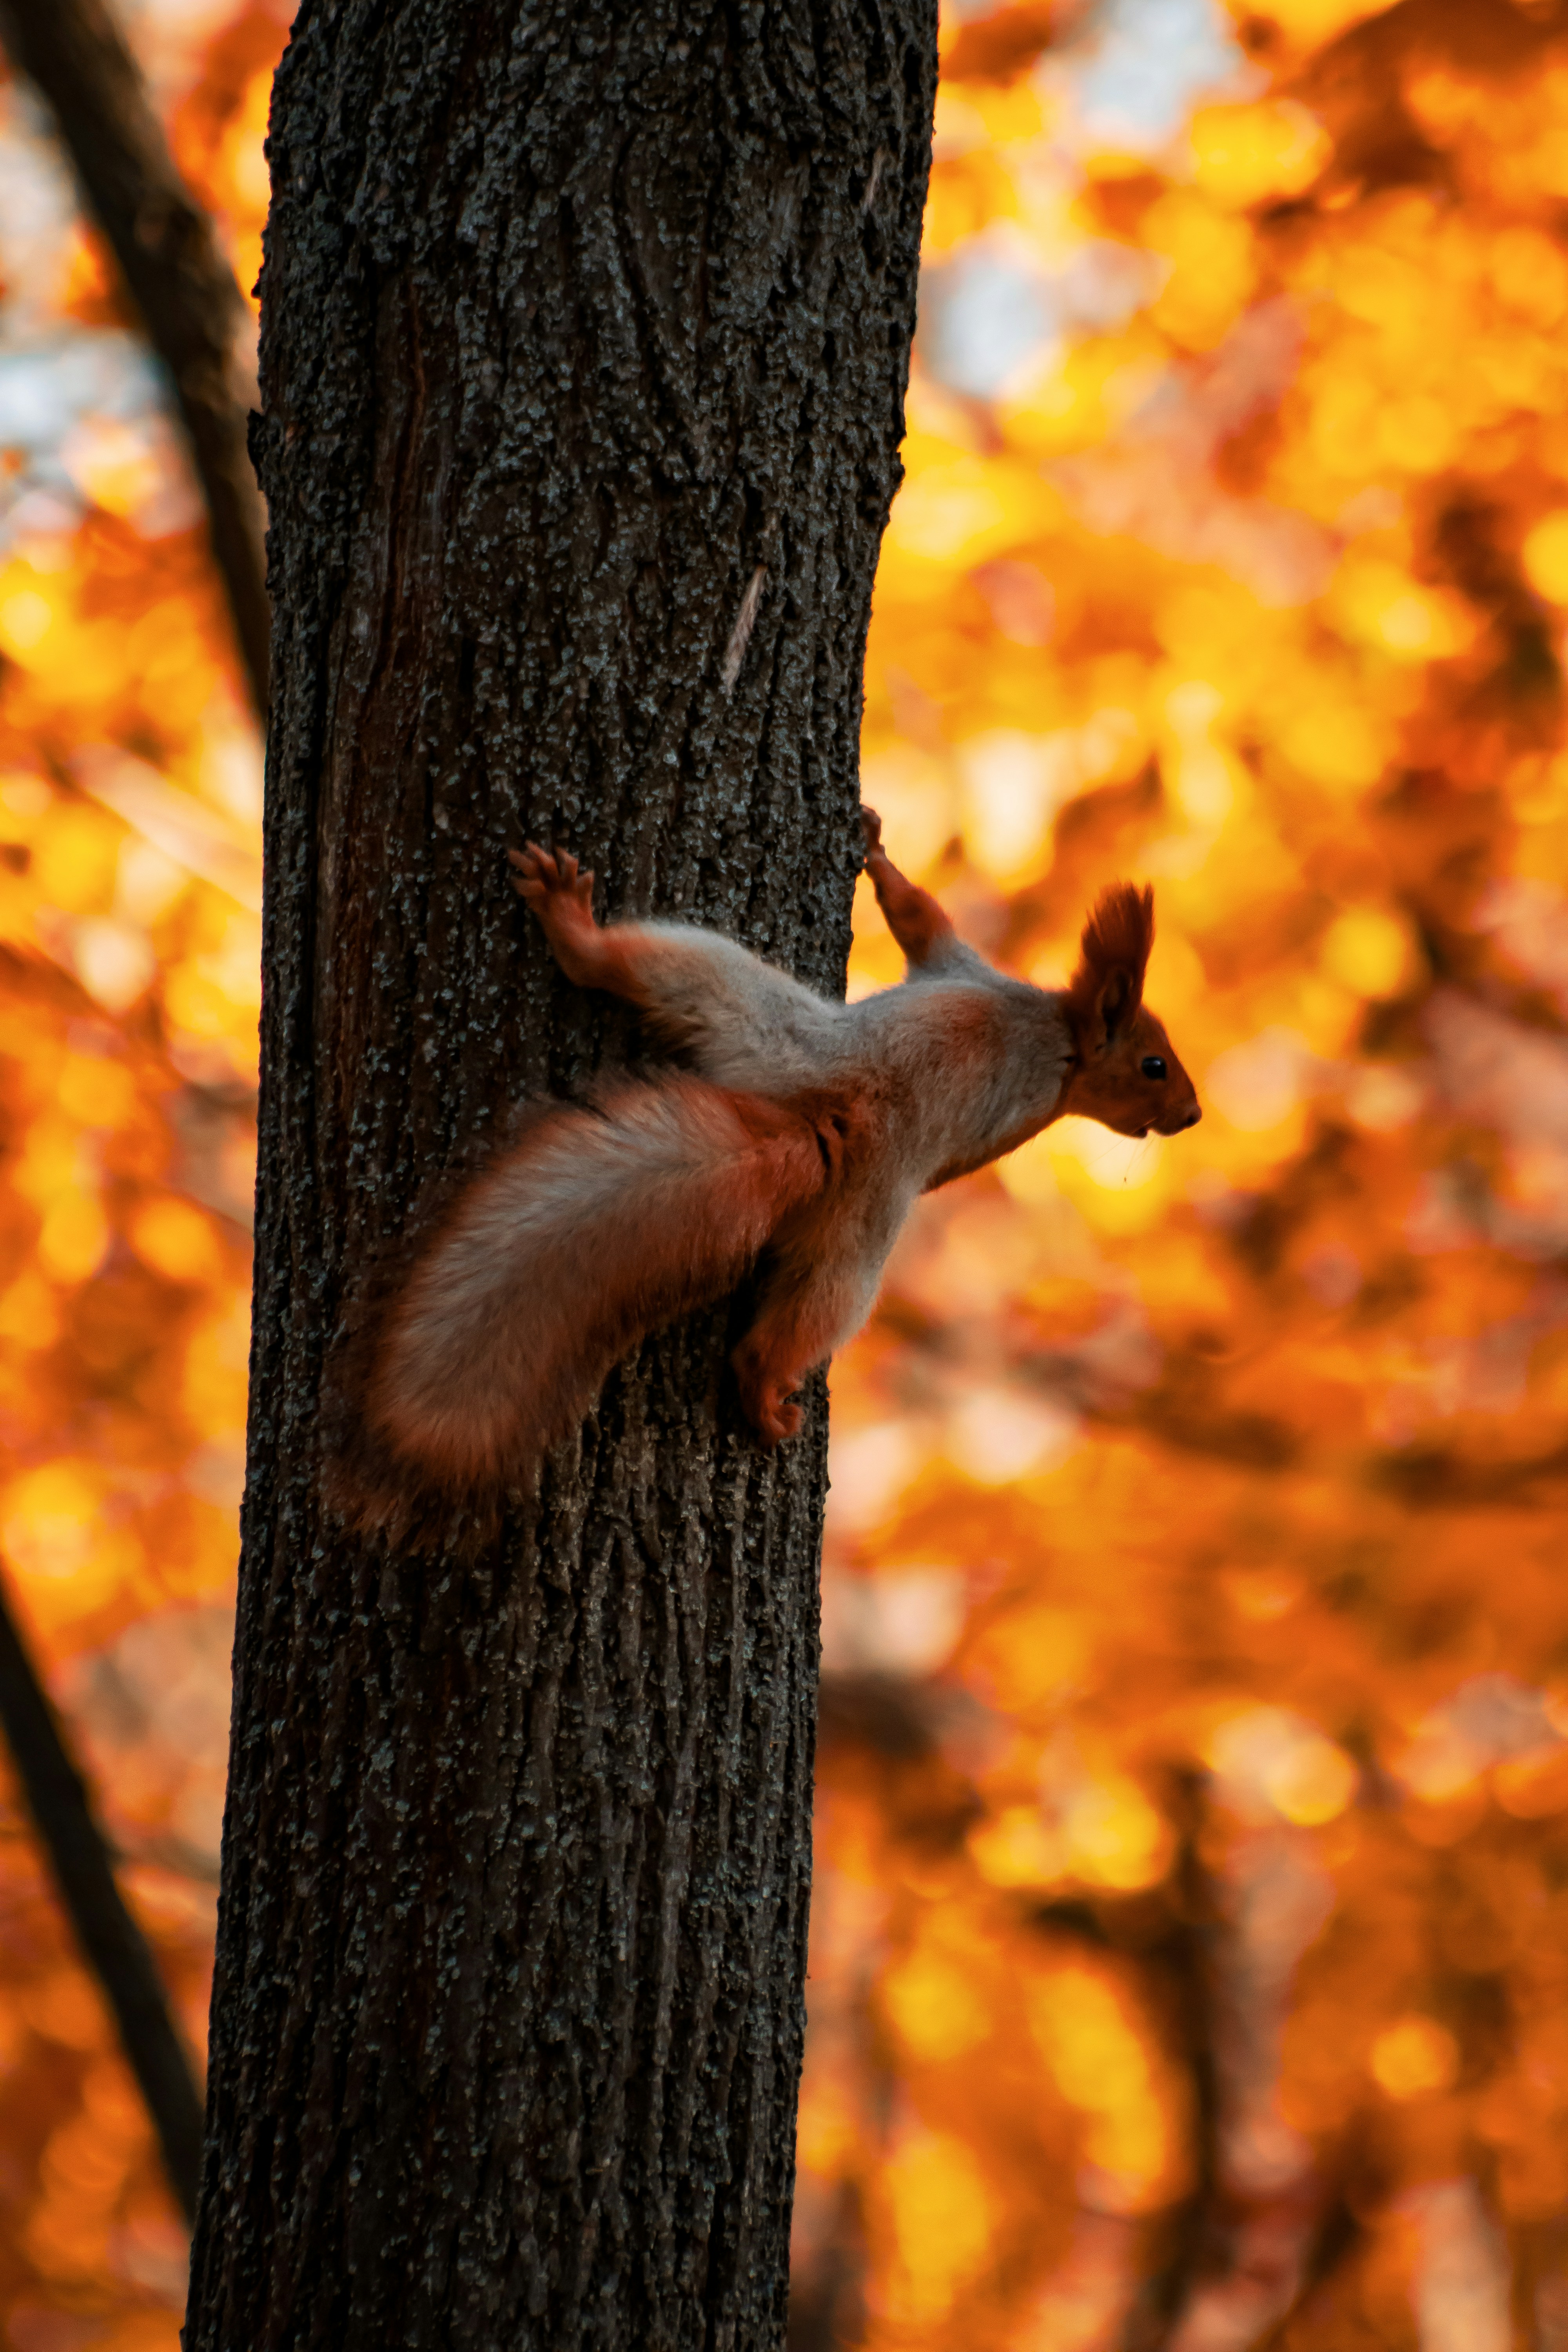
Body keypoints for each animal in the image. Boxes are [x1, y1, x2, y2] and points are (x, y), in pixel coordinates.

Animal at [335, 811, 1199, 1534]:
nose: (1191, 1116)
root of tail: (835, 1114)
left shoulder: (969, 984)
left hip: (757, 1027)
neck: (1061, 1042)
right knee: (792, 1329)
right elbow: (927, 922)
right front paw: (878, 853)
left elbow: (925, 927)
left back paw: (578, 934)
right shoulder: (988, 1008)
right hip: (821, 1141)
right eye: (1155, 1065)